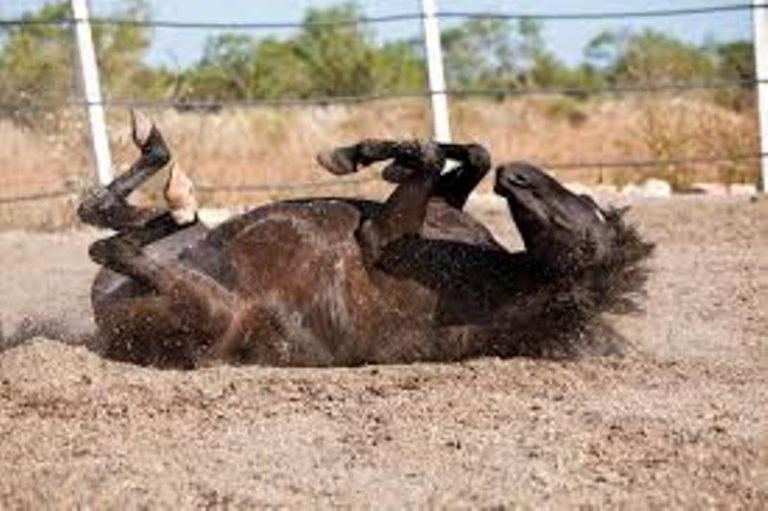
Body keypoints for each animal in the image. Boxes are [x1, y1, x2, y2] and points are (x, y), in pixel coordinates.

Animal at [78, 113, 653, 368]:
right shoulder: (443, 204)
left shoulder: (379, 237)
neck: (497, 282)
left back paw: (175, 193)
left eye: (585, 227)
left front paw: (355, 156)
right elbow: (466, 153)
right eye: (589, 202)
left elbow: (428, 158)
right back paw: (153, 160)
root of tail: (105, 327)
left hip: (206, 306)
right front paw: (367, 156)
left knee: (111, 243)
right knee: (100, 216)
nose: (519, 175)